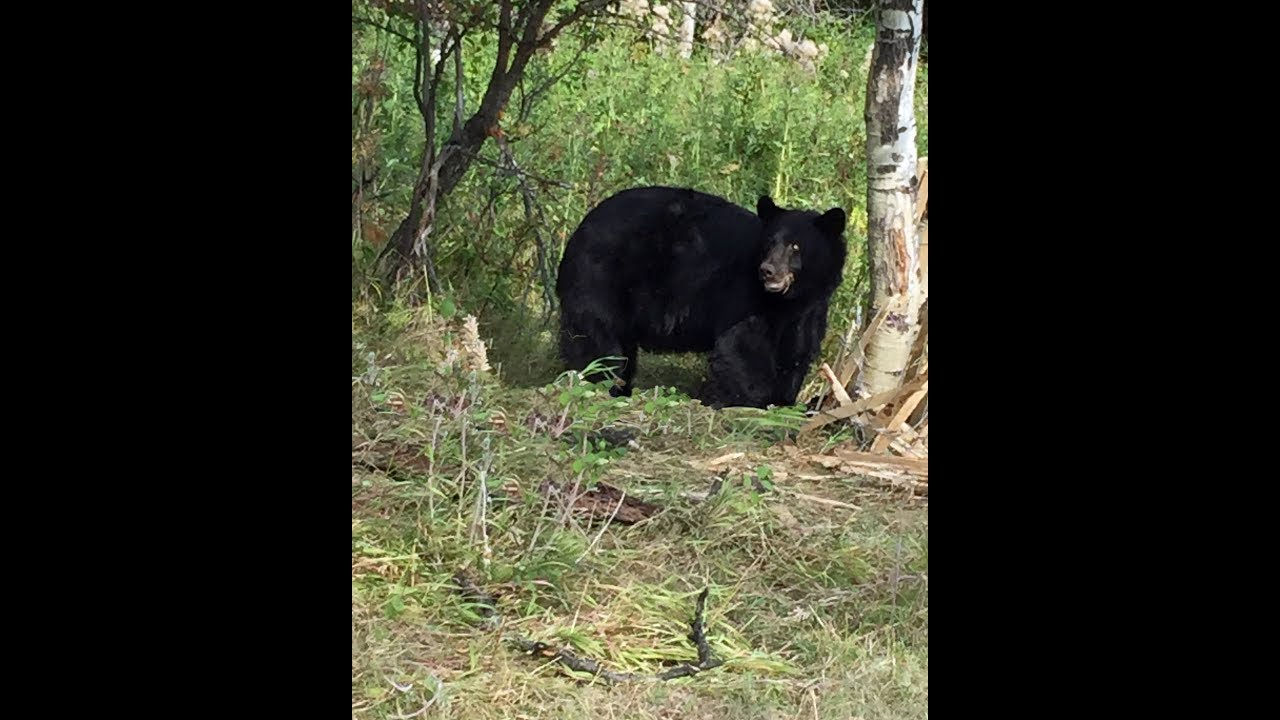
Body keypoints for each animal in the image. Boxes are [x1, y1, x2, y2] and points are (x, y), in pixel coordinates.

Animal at [555, 185, 847, 409]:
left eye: (795, 246)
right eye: (769, 243)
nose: (767, 271)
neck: (787, 301)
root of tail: (581, 226)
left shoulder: (808, 311)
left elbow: (796, 353)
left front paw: (784, 402)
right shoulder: (745, 297)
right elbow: (742, 346)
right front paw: (749, 401)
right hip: (599, 278)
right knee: (598, 337)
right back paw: (599, 382)